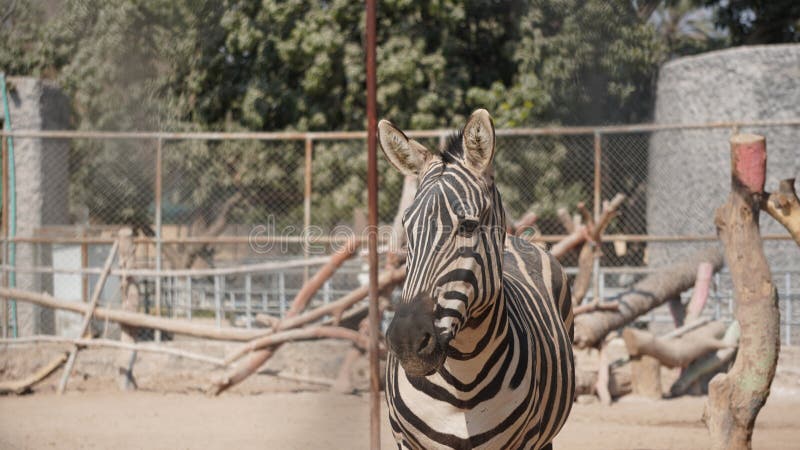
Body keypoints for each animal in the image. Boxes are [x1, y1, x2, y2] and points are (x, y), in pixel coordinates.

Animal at [378, 109, 575, 450]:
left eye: (468, 226)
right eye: (407, 228)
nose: (406, 341)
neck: (463, 380)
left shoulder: (525, 441)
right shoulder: (404, 441)